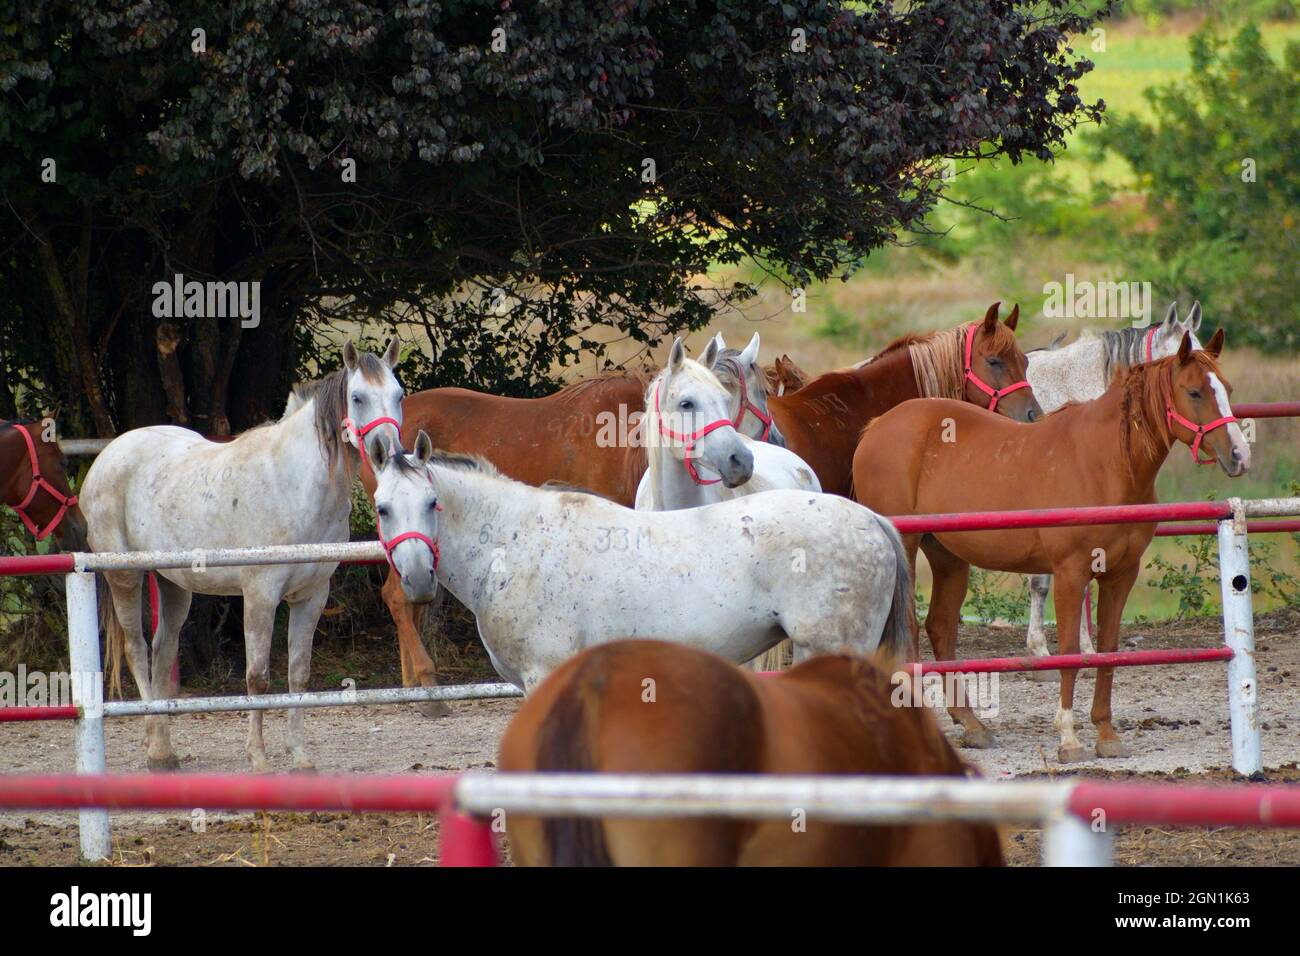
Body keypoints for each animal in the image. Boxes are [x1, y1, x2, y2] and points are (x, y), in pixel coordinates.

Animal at [82, 340, 405, 771]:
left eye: (399, 395)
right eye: (357, 397)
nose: (387, 452)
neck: (294, 484)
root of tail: (107, 456)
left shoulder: (312, 596)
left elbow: (299, 675)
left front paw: (300, 757)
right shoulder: (261, 595)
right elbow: (257, 677)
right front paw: (259, 757)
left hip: (173, 583)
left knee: (162, 650)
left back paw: (164, 748)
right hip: (125, 578)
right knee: (136, 649)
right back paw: (156, 752)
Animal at [368, 430, 913, 693]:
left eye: (432, 503)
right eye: (382, 508)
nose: (417, 579)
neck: (515, 542)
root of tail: (872, 521)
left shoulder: (545, 673)